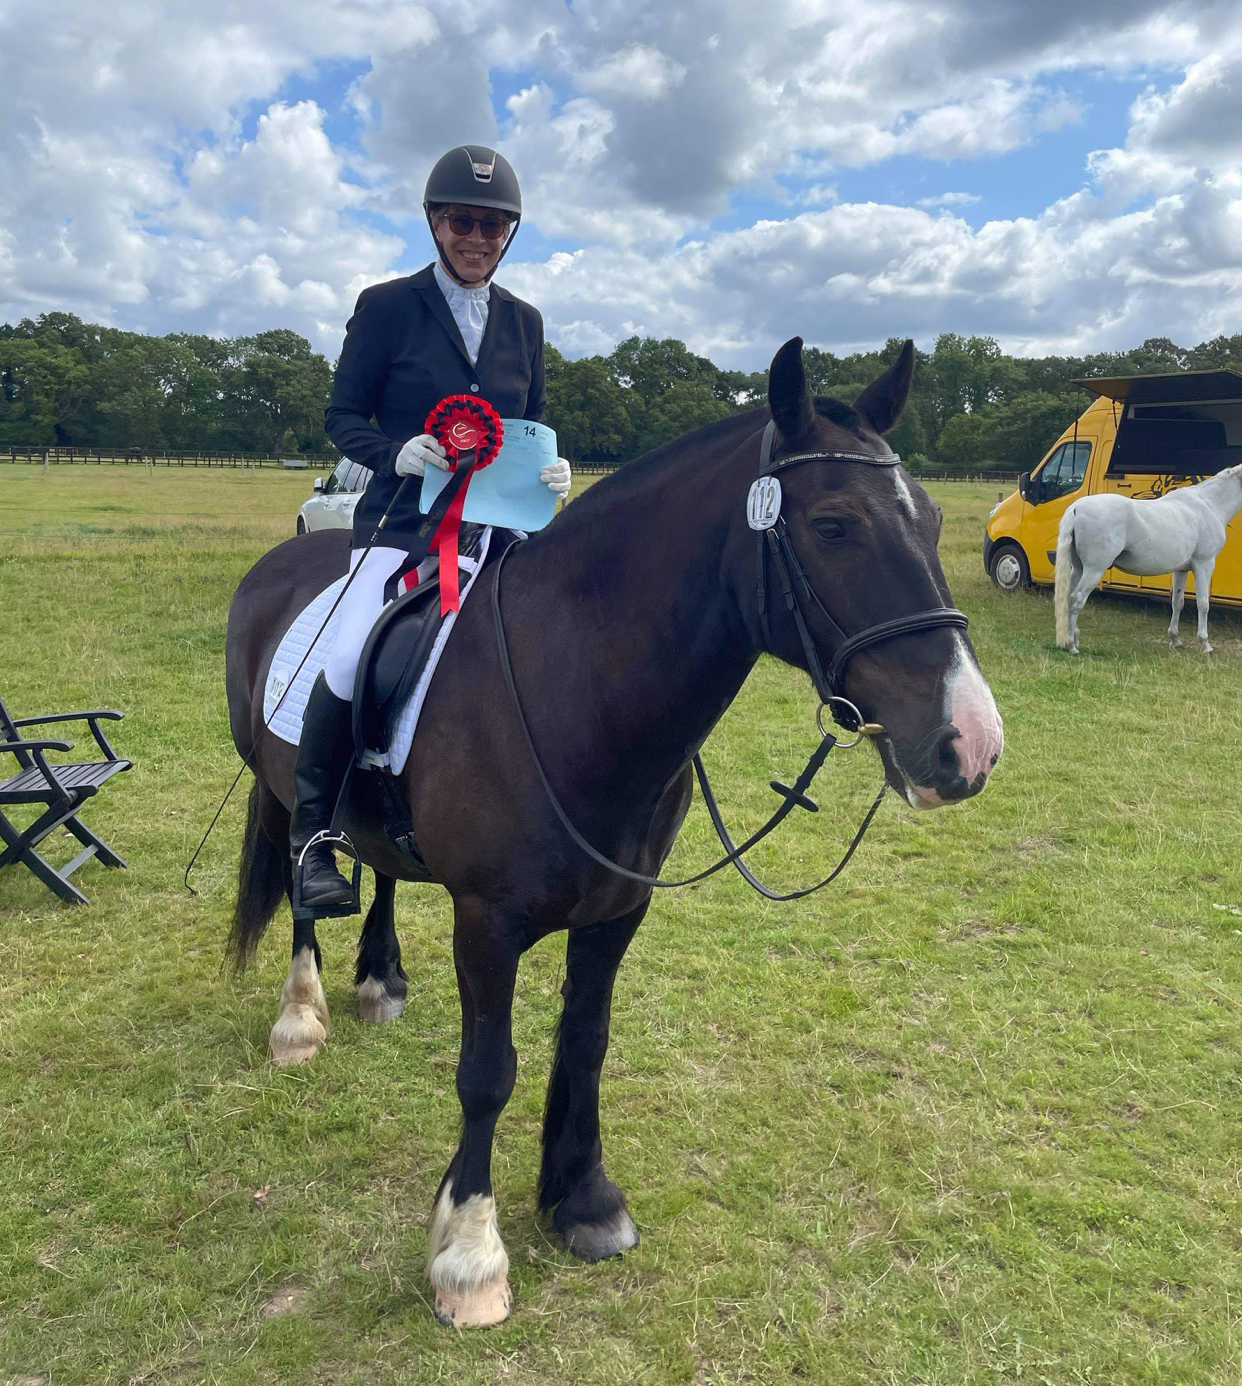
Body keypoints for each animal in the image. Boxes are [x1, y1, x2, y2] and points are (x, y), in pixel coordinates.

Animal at [224, 337, 1004, 1328]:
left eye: (934, 517)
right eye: (833, 526)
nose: (969, 743)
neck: (572, 687)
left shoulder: (617, 910)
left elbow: (585, 1043)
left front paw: (582, 1199)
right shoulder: (488, 923)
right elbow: (489, 1071)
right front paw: (470, 1257)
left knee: (383, 864)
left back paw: (379, 979)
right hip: (281, 787)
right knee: (304, 870)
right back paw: (301, 1016)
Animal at [1054, 464, 1242, 655]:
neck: (1208, 504)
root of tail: (1076, 508)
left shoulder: (1180, 570)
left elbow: (1177, 602)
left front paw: (1175, 640)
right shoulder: (1204, 564)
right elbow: (1203, 603)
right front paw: (1205, 645)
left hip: (1078, 569)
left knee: (1068, 598)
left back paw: (1074, 640)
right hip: (1094, 570)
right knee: (1077, 599)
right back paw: (1071, 646)